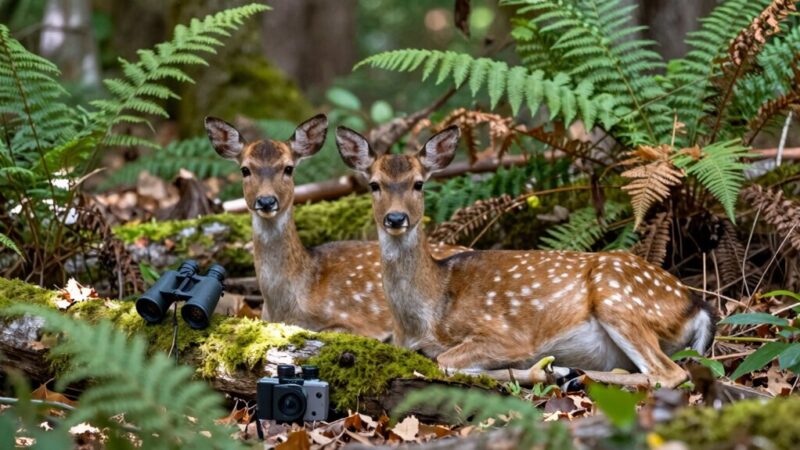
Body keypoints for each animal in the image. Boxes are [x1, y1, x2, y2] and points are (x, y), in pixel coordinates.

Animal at [335, 125, 716, 388]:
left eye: (419, 183)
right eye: (373, 184)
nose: (395, 218)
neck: (427, 312)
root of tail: (695, 305)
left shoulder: (506, 334)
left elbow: (443, 360)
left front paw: (541, 371)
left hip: (618, 296)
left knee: (668, 373)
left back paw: (573, 374)